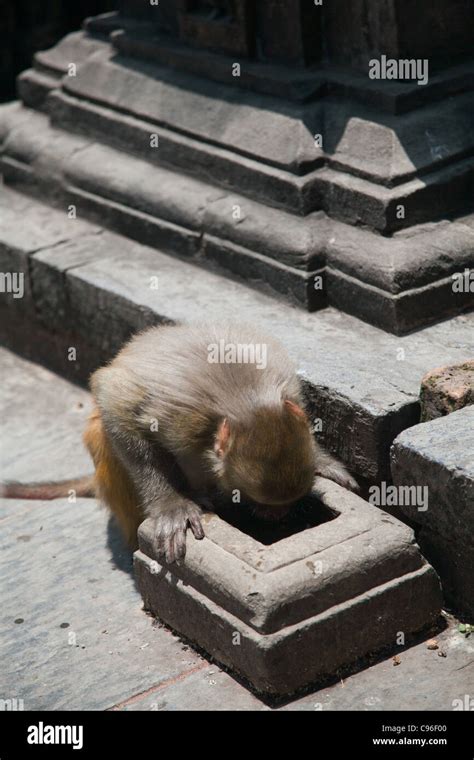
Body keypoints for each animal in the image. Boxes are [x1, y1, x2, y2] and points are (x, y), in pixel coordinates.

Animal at [2, 323, 358, 563]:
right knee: (105, 431)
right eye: (265, 503)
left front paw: (323, 461)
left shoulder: (290, 389)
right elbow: (115, 403)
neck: (247, 400)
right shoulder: (182, 417)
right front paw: (171, 505)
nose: (277, 515)